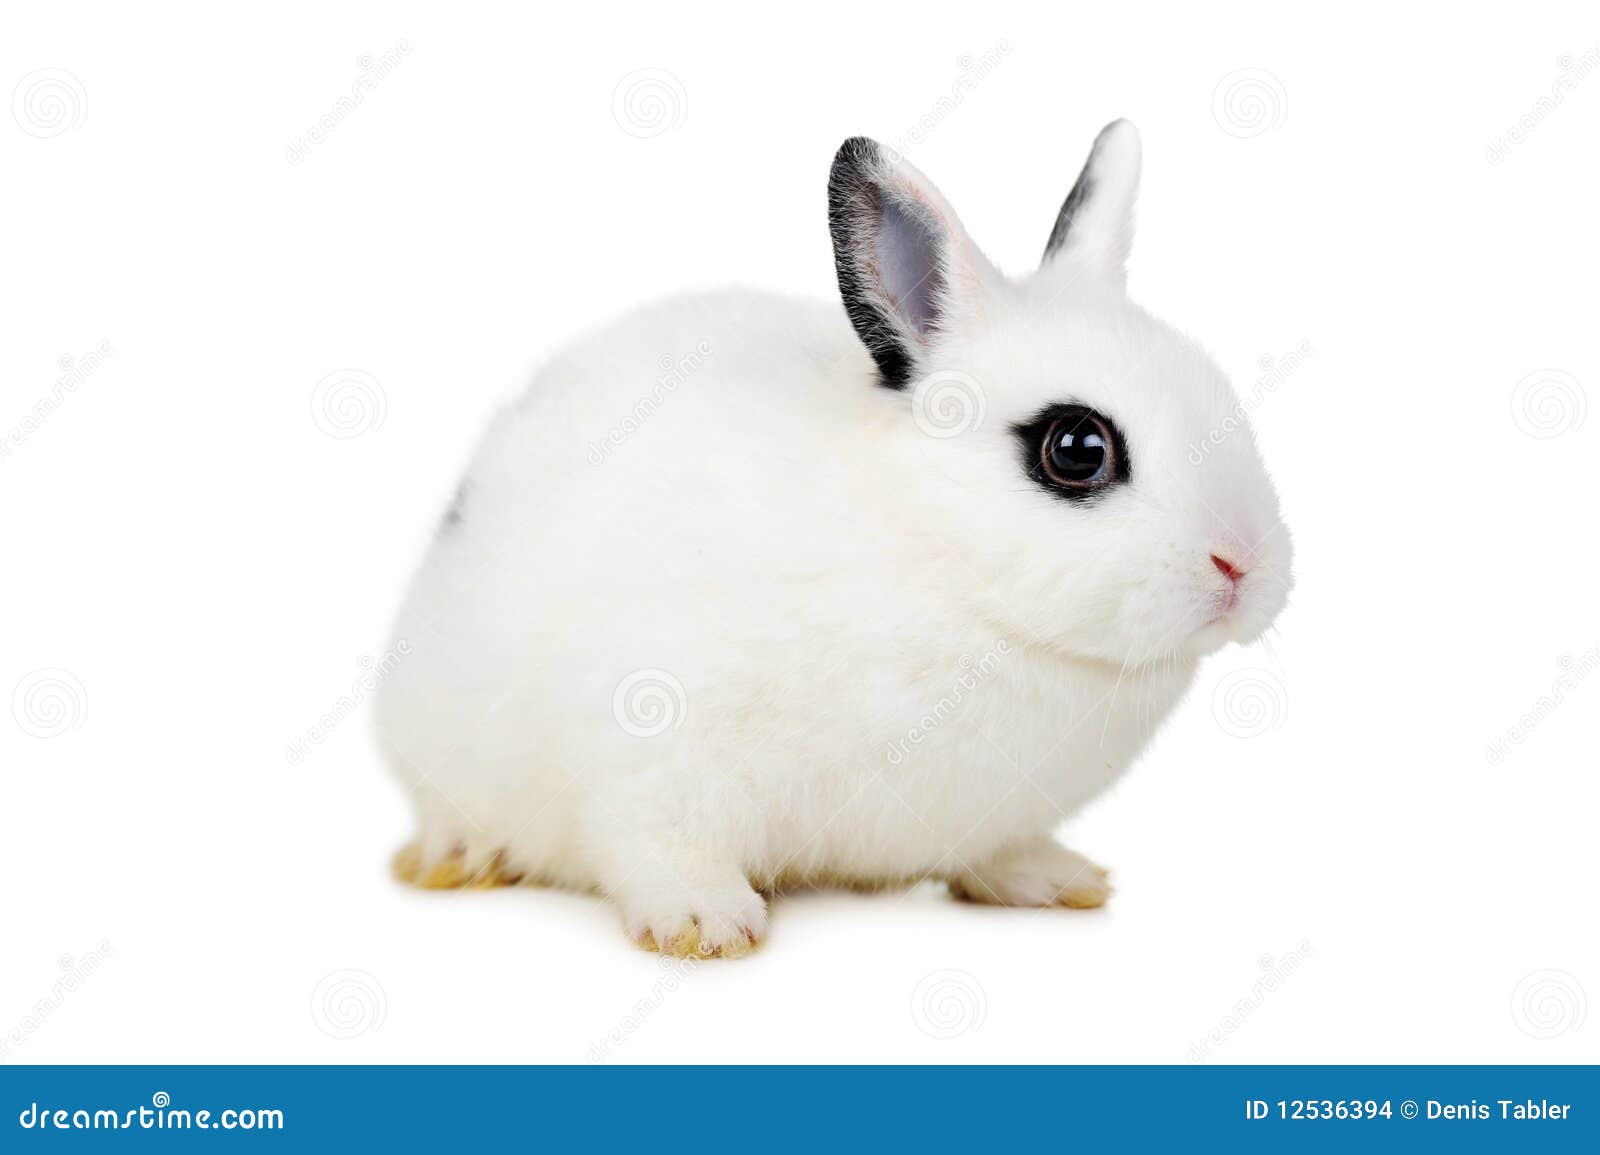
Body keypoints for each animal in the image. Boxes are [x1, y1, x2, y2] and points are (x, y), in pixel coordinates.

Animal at [375, 120, 1293, 957]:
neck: (938, 565)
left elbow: (1000, 850)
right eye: (1076, 449)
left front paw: (1055, 878)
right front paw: (705, 925)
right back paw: (454, 857)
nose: (1243, 566)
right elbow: (660, 843)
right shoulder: (651, 751)